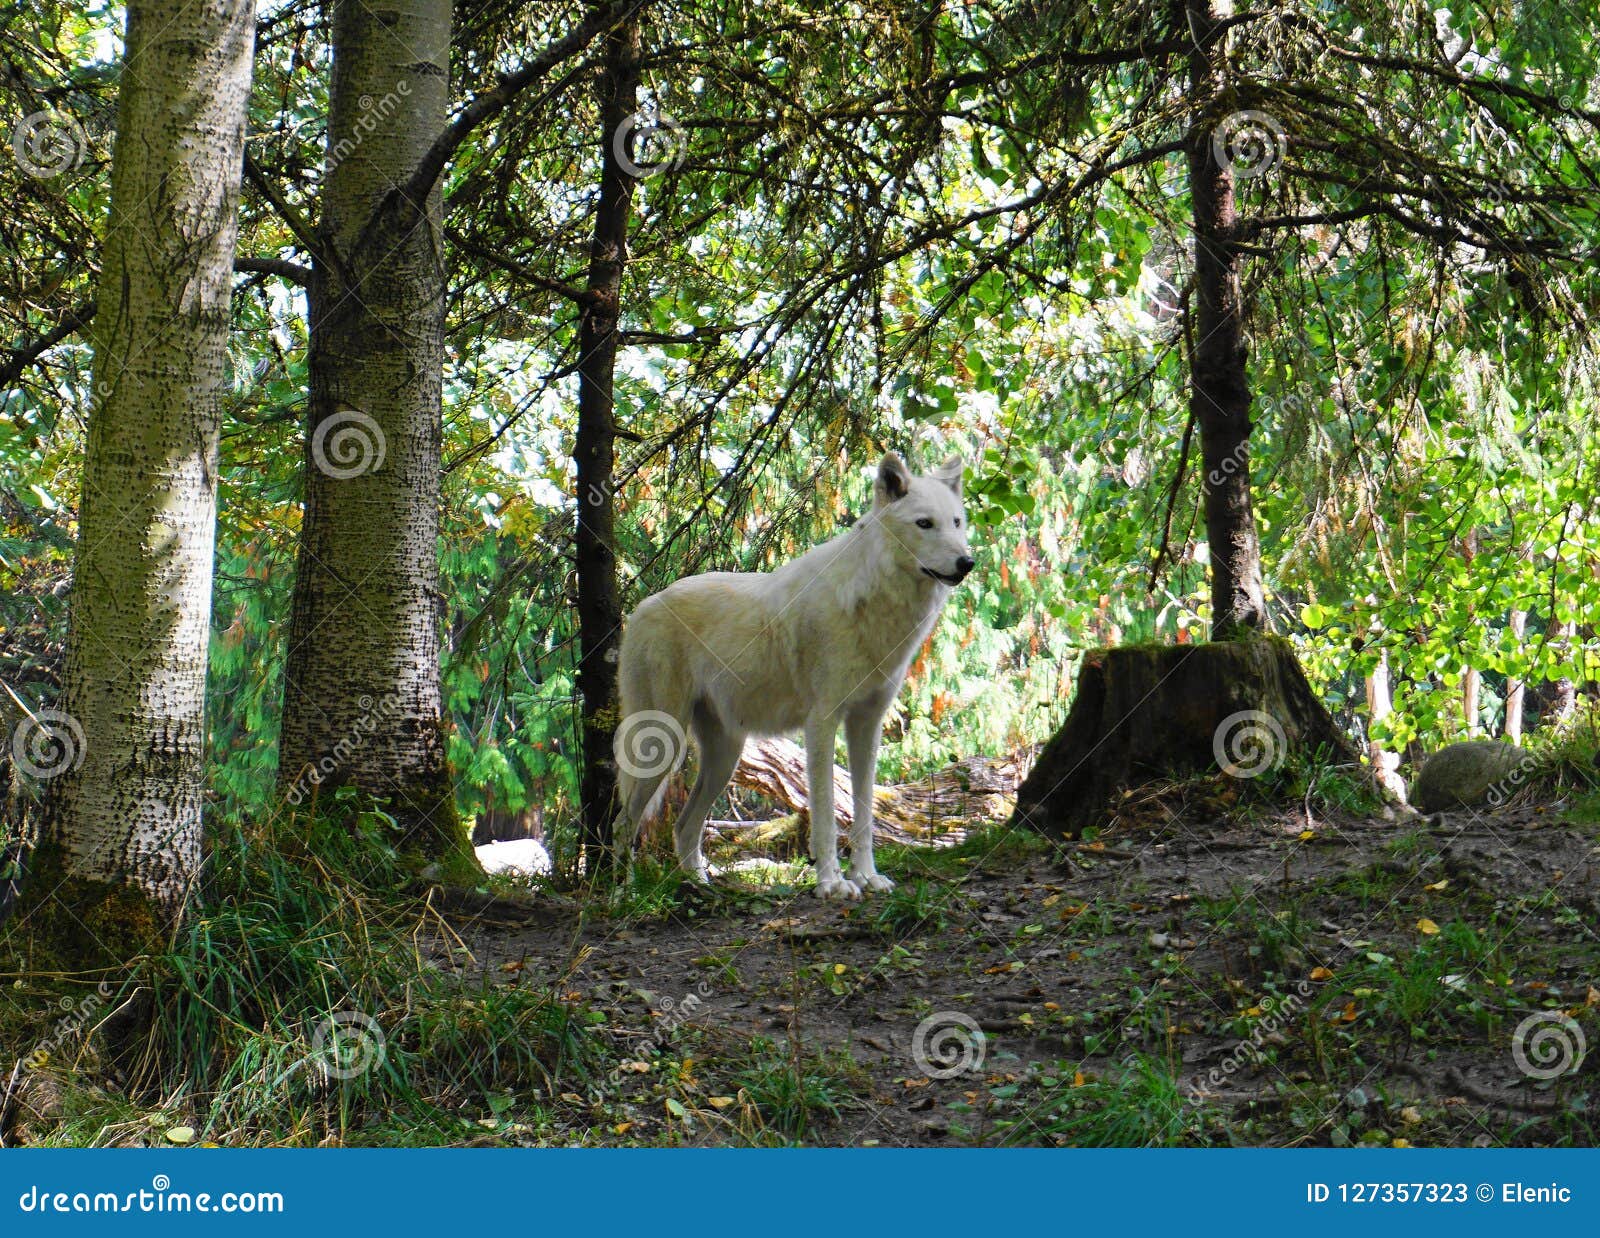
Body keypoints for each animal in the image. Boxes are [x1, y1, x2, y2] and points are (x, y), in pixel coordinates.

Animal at [613, 453, 975, 899]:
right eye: (924, 523)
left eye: (956, 522)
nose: (967, 563)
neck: (874, 604)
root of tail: (643, 606)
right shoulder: (822, 721)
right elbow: (825, 812)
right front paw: (832, 884)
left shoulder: (866, 724)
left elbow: (864, 811)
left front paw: (867, 877)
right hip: (662, 743)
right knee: (623, 823)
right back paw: (621, 895)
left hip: (725, 755)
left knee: (684, 825)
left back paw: (702, 885)